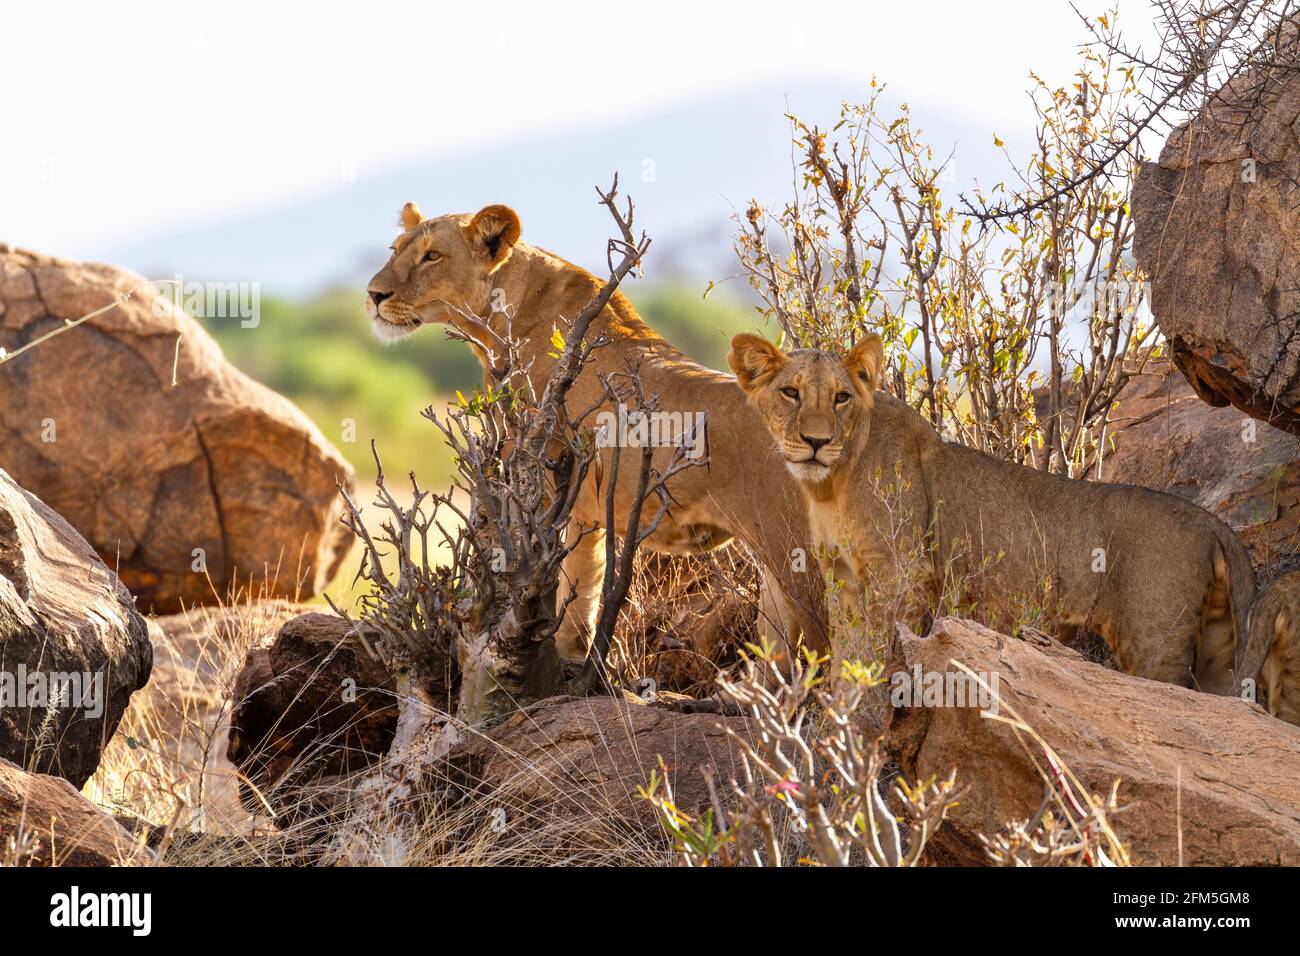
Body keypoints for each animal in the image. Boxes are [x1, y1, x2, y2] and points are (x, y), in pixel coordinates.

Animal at [366, 202, 824, 660]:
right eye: (395, 249)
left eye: (432, 256)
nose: (373, 295)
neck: (501, 316)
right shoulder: (588, 505)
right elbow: (581, 590)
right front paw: (570, 655)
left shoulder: (539, 477)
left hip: (798, 557)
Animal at [727, 332, 1259, 692]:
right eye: (790, 393)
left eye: (840, 397)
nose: (816, 442)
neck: (830, 486)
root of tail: (1213, 523)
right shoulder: (842, 577)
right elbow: (846, 653)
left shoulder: (903, 571)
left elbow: (878, 648)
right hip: (1218, 647)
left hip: (1155, 642)